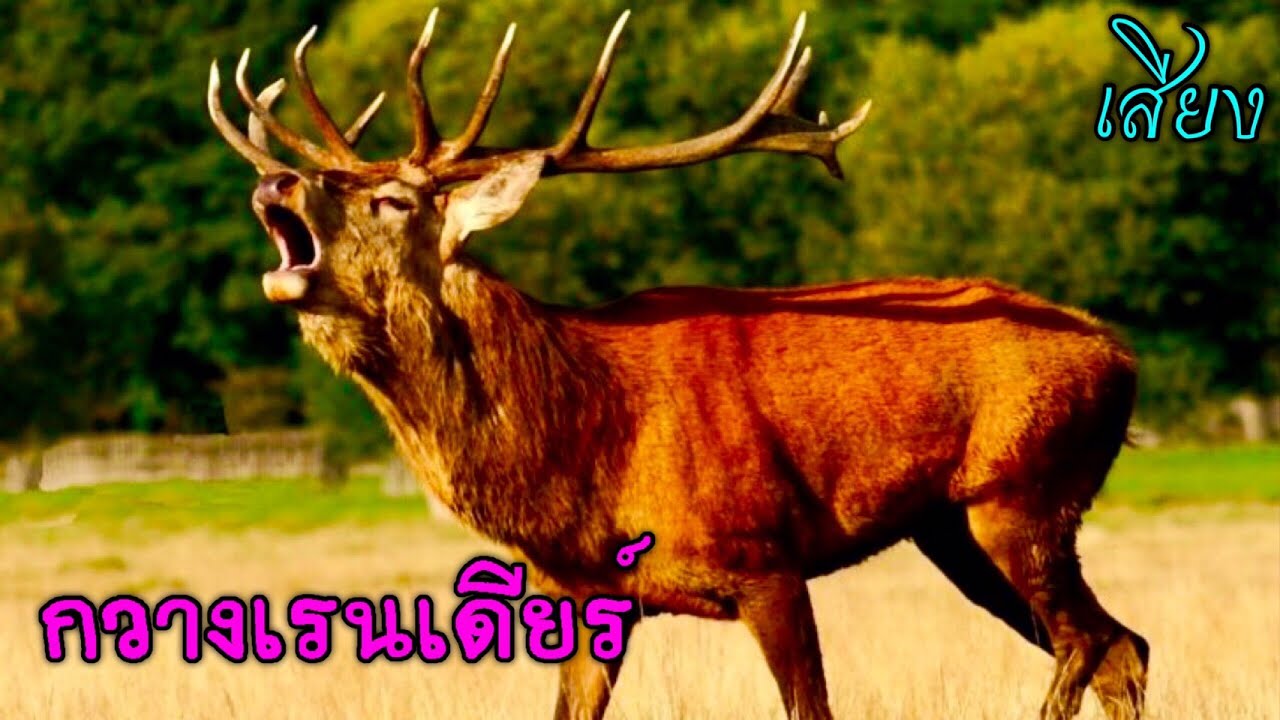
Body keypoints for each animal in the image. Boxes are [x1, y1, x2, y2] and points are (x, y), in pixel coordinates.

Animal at [206, 9, 1149, 720]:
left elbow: (811, 707)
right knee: (1123, 646)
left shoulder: (765, 556)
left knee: (1090, 640)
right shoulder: (585, 595)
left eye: (394, 200)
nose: (276, 183)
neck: (587, 449)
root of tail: (1122, 354)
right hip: (953, 526)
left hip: (1023, 490)